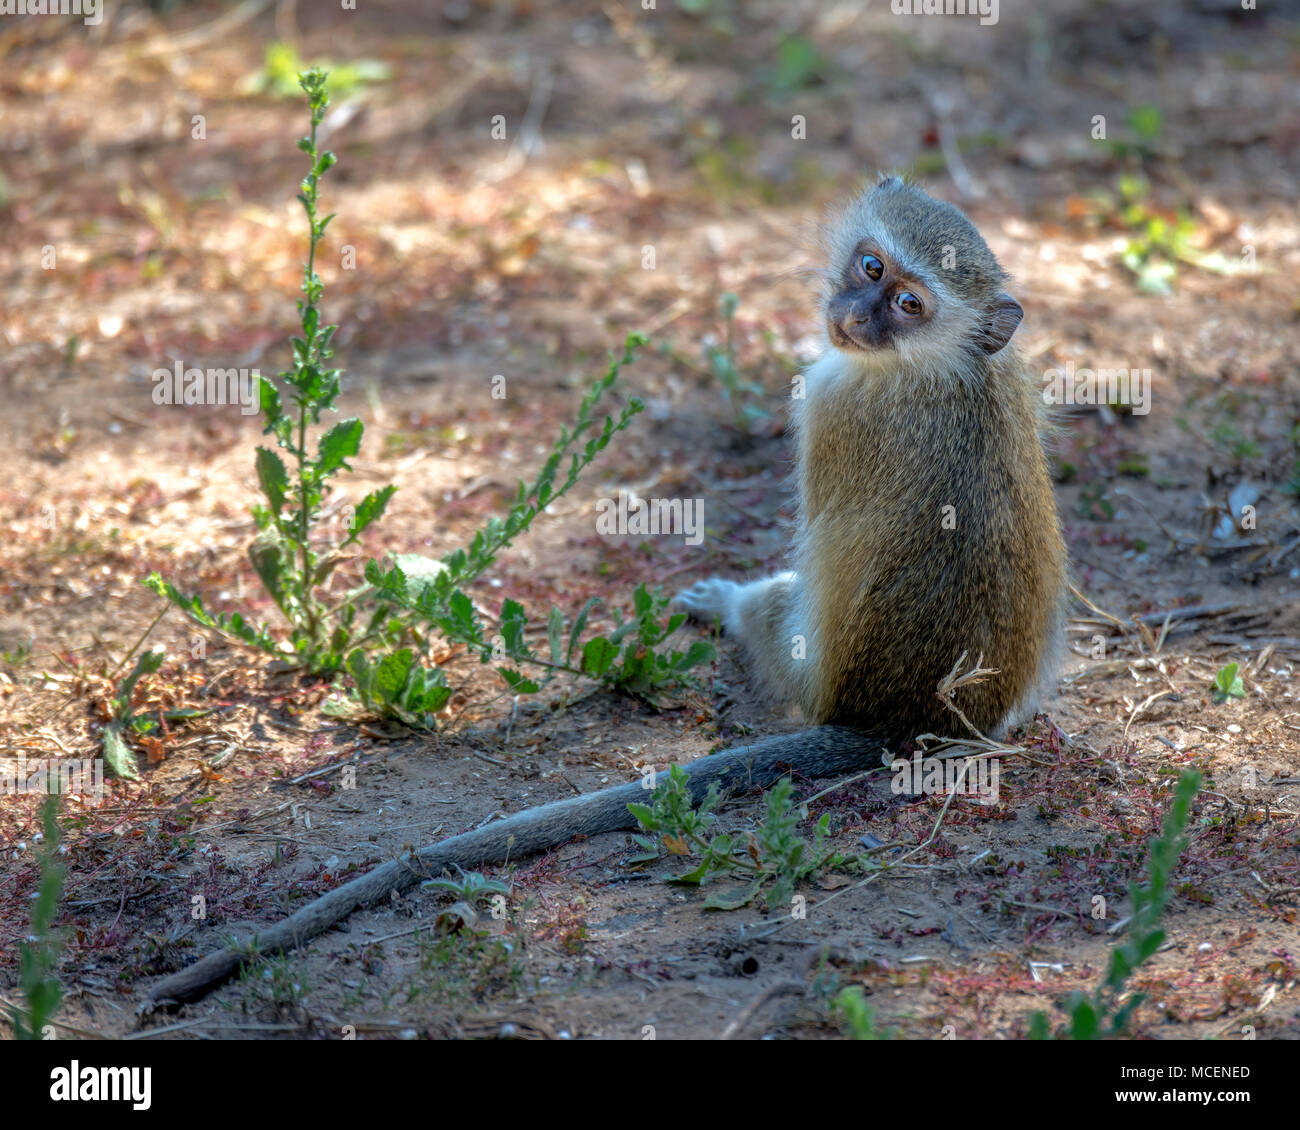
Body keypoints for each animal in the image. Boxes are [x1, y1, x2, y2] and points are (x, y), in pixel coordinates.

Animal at [149, 177, 1067, 1004]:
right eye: (873, 266)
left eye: (909, 303)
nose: (856, 314)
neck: (941, 364)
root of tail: (897, 719)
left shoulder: (832, 402)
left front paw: (725, 602)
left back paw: (733, 614)